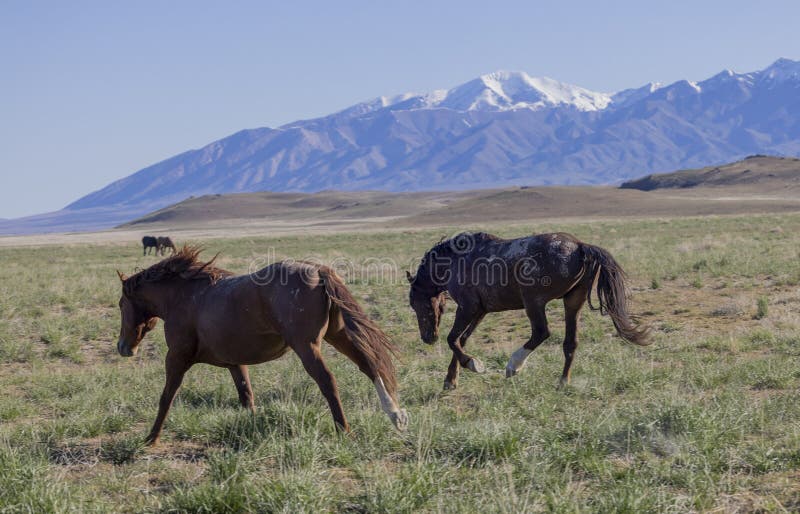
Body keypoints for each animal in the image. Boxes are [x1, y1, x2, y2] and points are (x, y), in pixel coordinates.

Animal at [116, 246, 407, 445]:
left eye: (120, 305)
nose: (123, 347)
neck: (183, 297)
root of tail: (318, 270)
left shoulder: (176, 358)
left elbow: (167, 396)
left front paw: (150, 438)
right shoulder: (235, 363)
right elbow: (247, 397)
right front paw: (251, 429)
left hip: (307, 346)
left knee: (328, 381)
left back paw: (343, 430)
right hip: (338, 335)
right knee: (369, 365)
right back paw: (396, 415)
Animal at [407, 232, 650, 390]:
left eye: (415, 303)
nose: (428, 338)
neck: (455, 261)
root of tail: (581, 246)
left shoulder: (468, 307)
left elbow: (452, 339)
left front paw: (473, 365)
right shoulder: (481, 311)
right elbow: (461, 340)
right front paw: (450, 380)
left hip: (534, 302)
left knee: (541, 332)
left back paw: (513, 366)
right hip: (573, 301)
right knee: (570, 342)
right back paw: (563, 382)